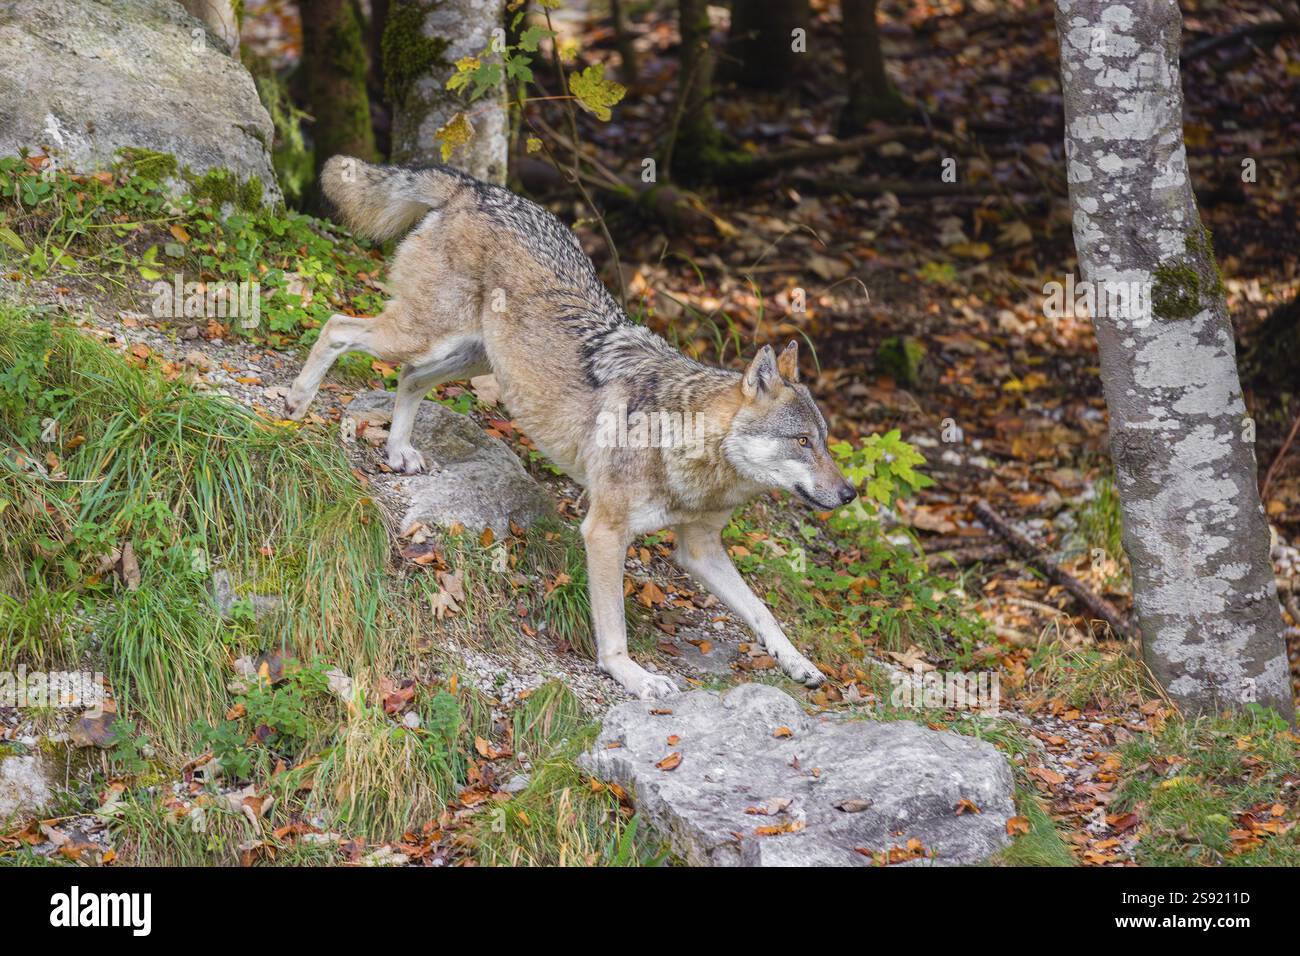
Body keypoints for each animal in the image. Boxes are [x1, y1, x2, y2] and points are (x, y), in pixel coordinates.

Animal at [285, 157, 857, 699]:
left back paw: (400, 450)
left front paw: (800, 664)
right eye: (802, 442)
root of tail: (476, 187)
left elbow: (762, 611)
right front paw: (635, 677)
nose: (849, 493)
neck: (686, 448)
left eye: (825, 443)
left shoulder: (700, 550)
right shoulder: (604, 532)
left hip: (472, 360)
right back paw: (296, 401)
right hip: (422, 336)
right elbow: (615, 629)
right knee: (338, 327)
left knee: (407, 378)